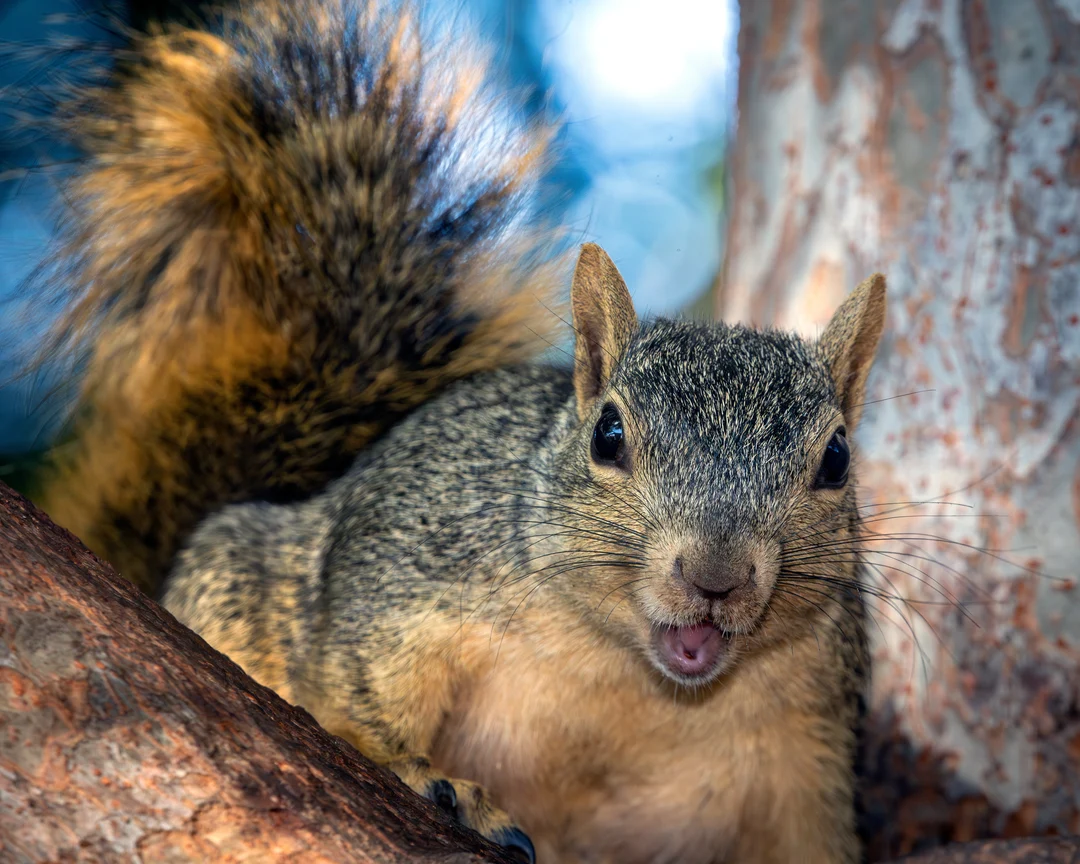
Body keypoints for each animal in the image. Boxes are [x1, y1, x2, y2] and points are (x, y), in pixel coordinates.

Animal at [26, 1, 888, 861]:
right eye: (608, 436)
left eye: (836, 459)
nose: (716, 577)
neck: (630, 673)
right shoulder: (405, 570)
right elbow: (353, 683)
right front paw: (428, 778)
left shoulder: (809, 750)